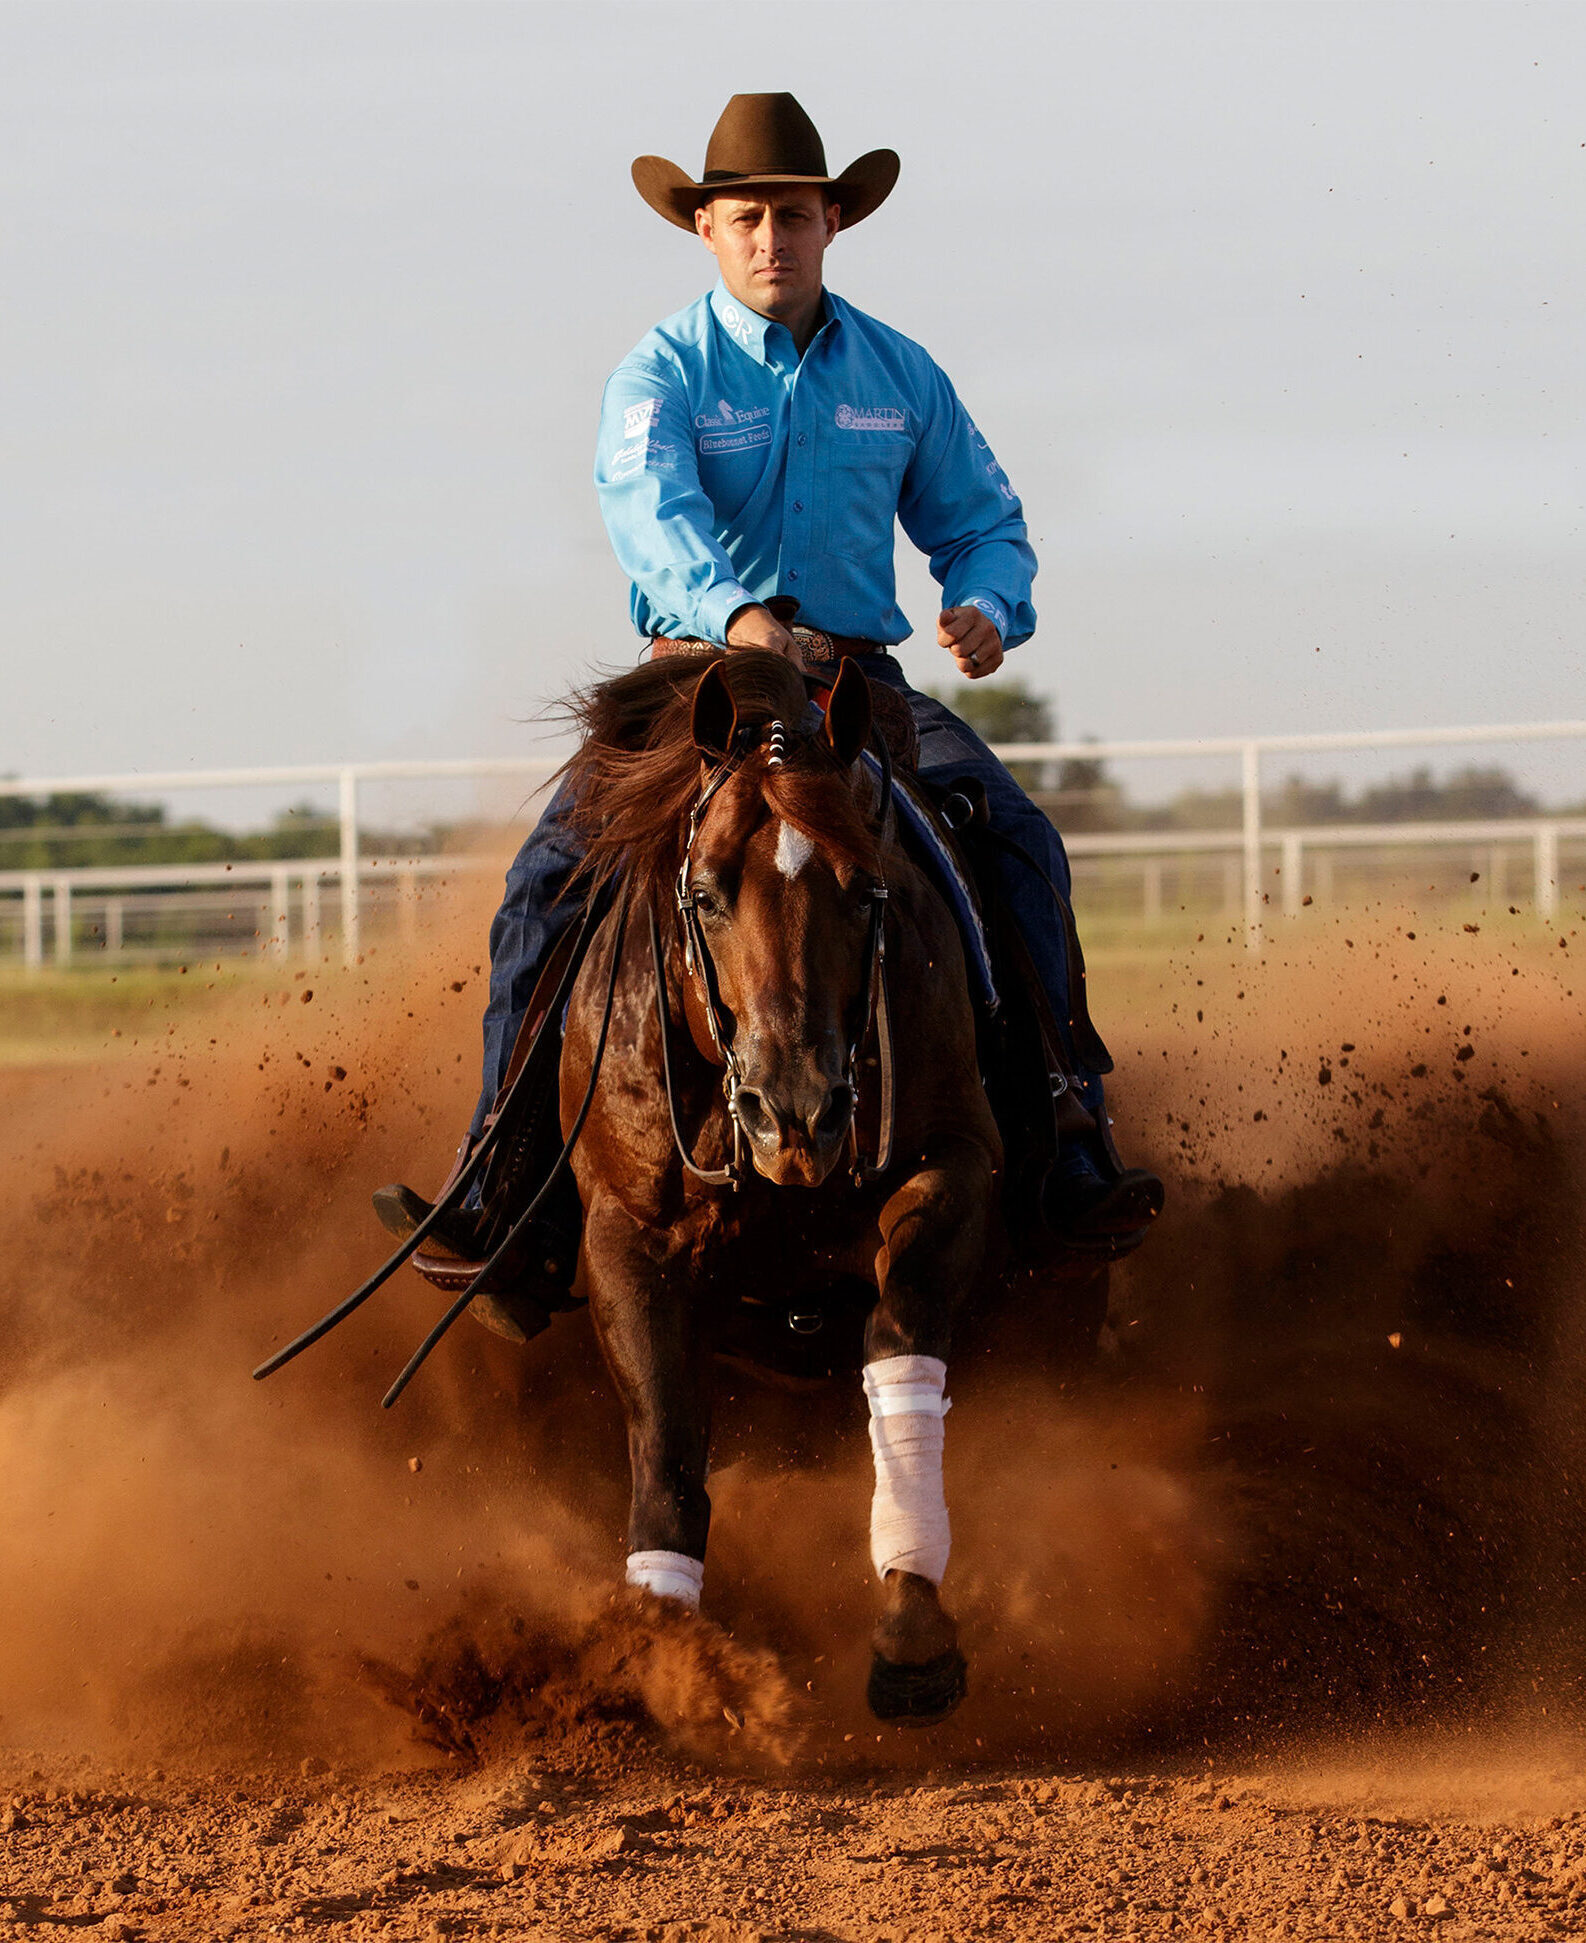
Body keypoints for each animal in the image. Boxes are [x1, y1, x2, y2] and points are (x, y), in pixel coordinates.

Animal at [550, 647, 1004, 1721]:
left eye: (864, 888)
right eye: (707, 893)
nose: (794, 1111)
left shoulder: (955, 1161)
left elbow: (902, 1346)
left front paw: (913, 1622)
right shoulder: (625, 1233)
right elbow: (670, 1436)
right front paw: (668, 1653)